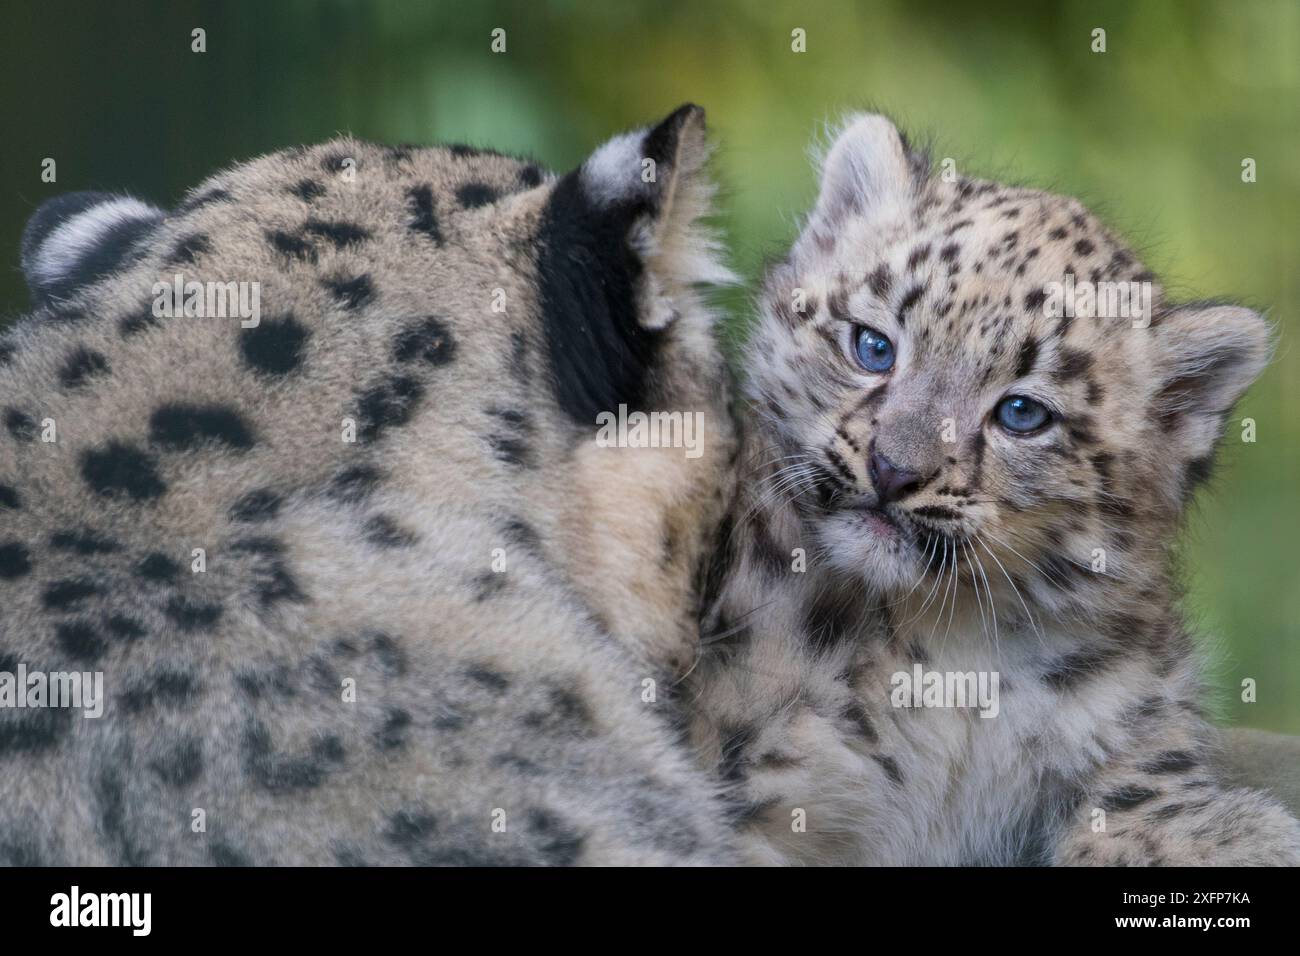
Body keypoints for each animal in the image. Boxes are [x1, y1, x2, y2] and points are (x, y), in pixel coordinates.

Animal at [687, 113, 1300, 866]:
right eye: (872, 346)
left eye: (1022, 413)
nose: (892, 469)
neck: (946, 644)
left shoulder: (1127, 742)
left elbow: (1141, 804)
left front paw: (1237, 835)